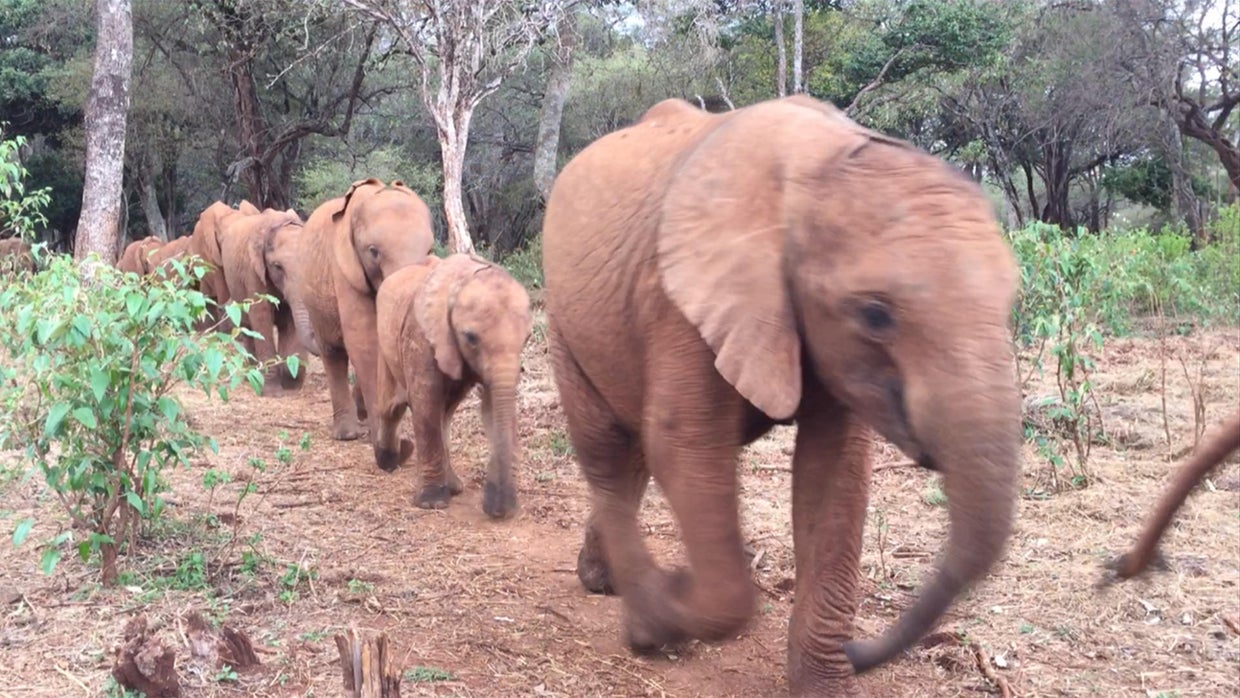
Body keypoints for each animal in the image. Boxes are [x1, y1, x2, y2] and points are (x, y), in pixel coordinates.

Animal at [218, 207, 309, 395]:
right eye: (277, 266)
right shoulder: (252, 271)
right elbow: (261, 316)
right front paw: (272, 392)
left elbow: (290, 321)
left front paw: (291, 385)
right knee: (248, 326)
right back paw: (251, 375)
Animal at [287, 178, 435, 441]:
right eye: (373, 251)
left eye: (429, 251)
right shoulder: (345, 272)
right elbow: (364, 341)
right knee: (333, 352)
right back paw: (347, 434)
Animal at [372, 253, 532, 517]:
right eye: (470, 337)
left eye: (527, 338)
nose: (499, 510)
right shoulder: (421, 335)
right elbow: (425, 401)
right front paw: (432, 503)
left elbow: (493, 407)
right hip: (384, 340)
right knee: (391, 406)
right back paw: (389, 461)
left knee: (445, 413)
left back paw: (454, 486)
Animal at [541, 95, 1022, 696]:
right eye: (875, 315)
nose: (861, 651)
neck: (817, 165)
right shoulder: (682, 297)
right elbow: (686, 447)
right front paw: (660, 618)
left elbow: (833, 472)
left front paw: (824, 688)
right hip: (564, 317)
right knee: (606, 447)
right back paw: (636, 608)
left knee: (629, 453)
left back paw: (605, 582)